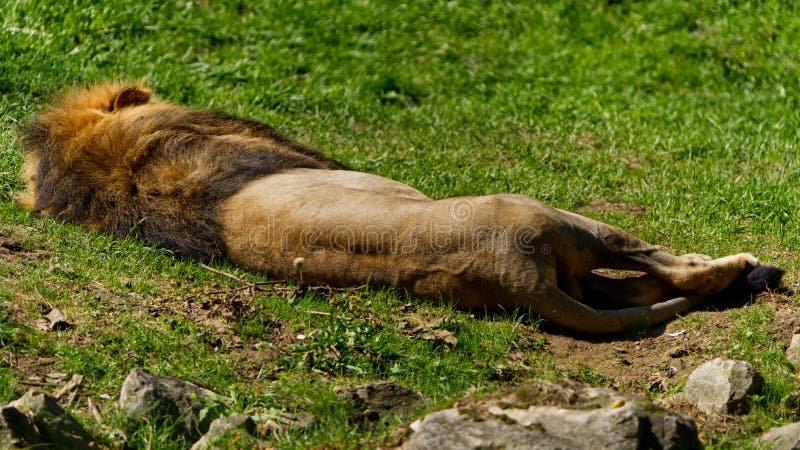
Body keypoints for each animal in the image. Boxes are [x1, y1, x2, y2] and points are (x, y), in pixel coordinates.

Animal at [19, 82, 784, 334]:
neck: (114, 169)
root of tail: (515, 276)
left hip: (557, 264)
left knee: (627, 291)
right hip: (555, 218)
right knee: (656, 265)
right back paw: (745, 267)